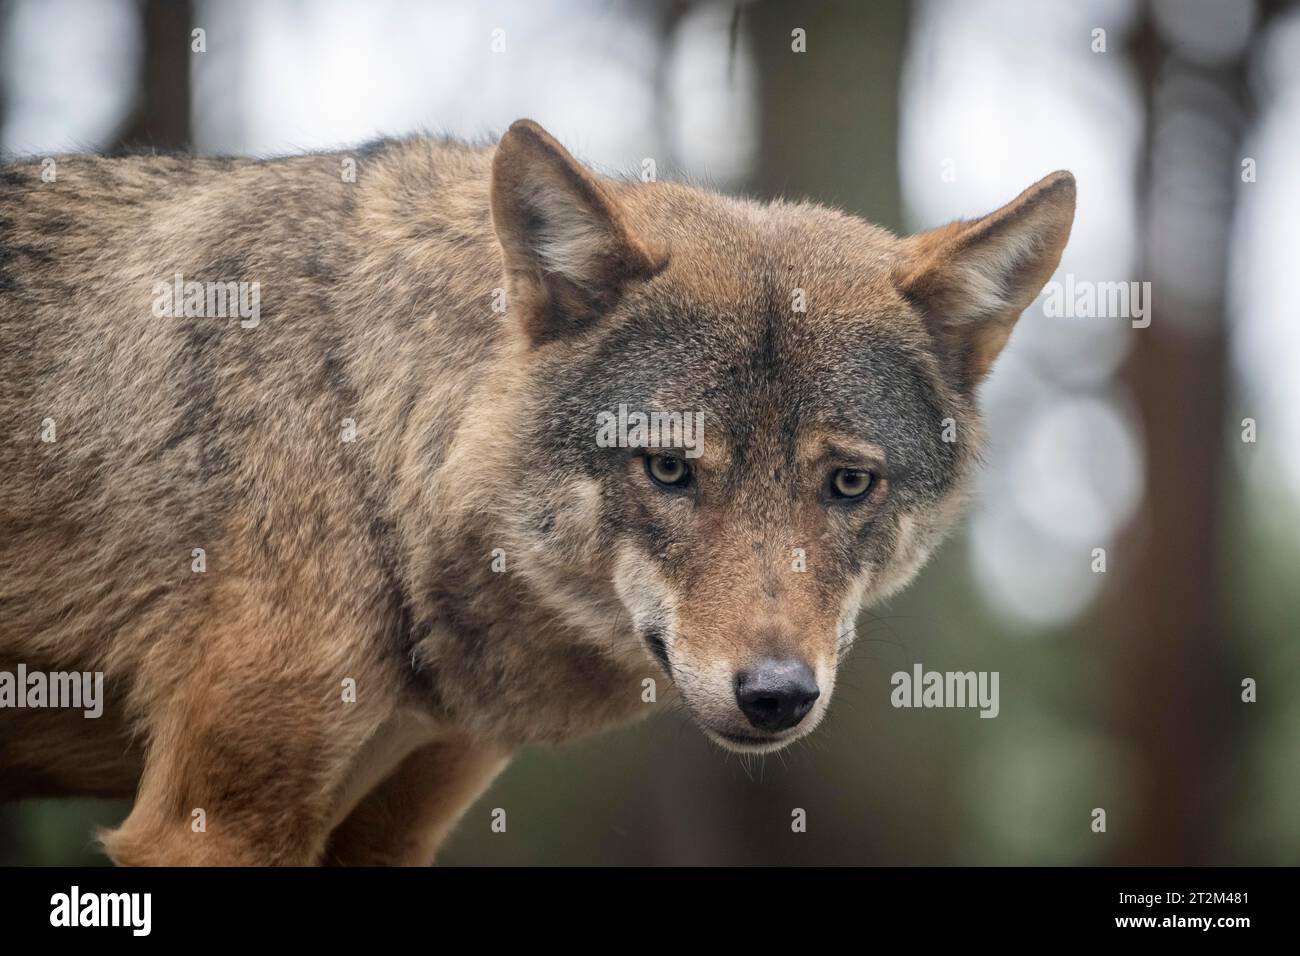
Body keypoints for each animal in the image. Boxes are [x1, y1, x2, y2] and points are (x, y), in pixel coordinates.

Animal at [0, 119, 1074, 864]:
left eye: (849, 483)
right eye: (669, 469)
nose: (776, 696)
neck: (375, 444)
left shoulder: (387, 834)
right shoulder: (209, 826)